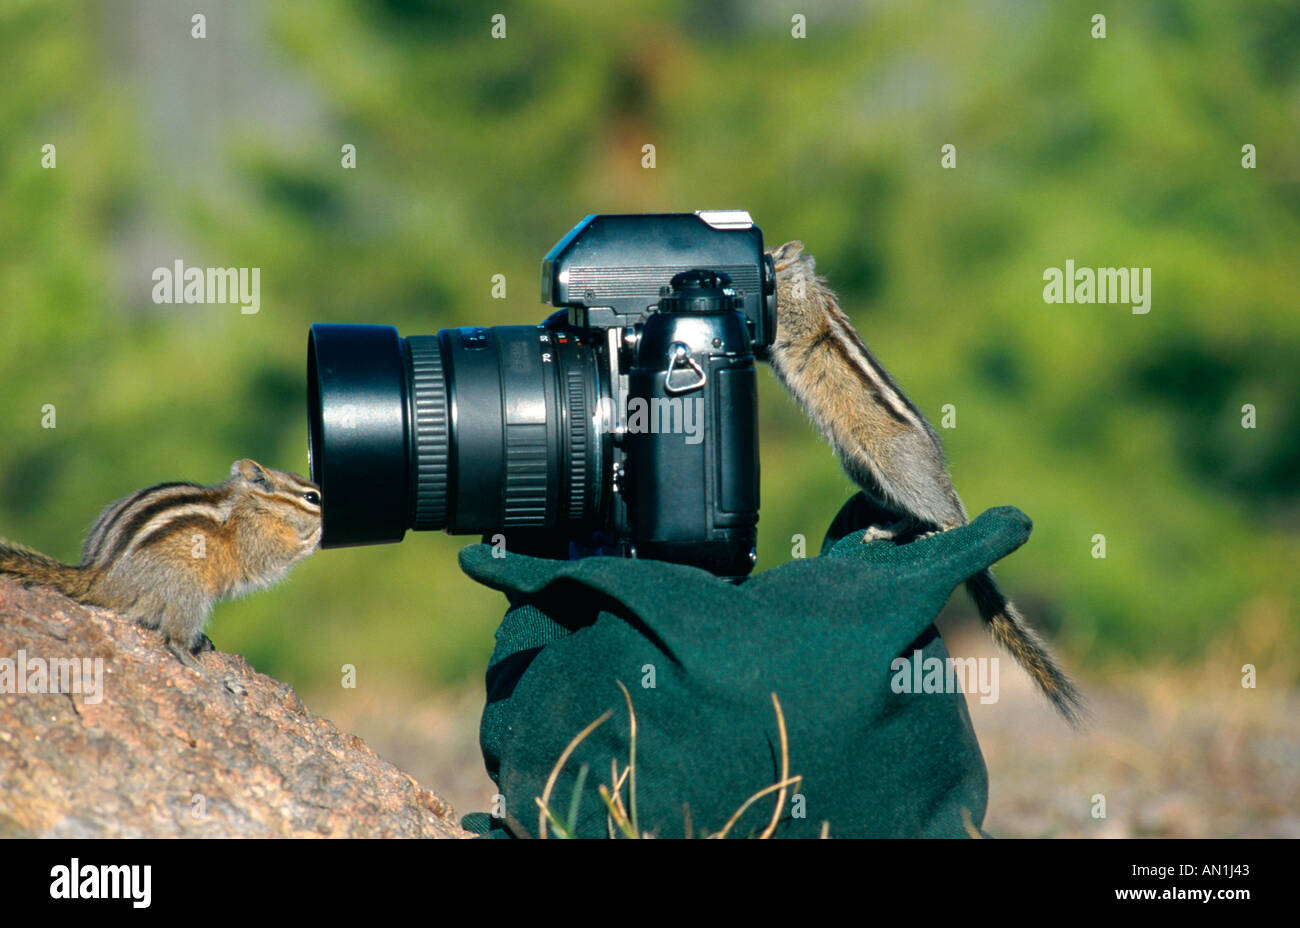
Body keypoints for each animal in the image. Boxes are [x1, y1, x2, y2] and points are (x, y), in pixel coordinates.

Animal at [0, 459, 321, 670]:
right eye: (311, 497)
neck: (255, 505)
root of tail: (99, 578)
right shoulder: (255, 540)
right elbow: (275, 556)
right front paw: (314, 536)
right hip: (188, 588)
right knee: (173, 637)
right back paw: (192, 660)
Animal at [765, 240, 1085, 725]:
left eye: (770, 253)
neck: (806, 282)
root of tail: (942, 476)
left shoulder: (799, 313)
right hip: (864, 471)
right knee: (911, 514)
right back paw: (886, 530)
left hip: (895, 467)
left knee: (942, 515)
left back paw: (940, 530)